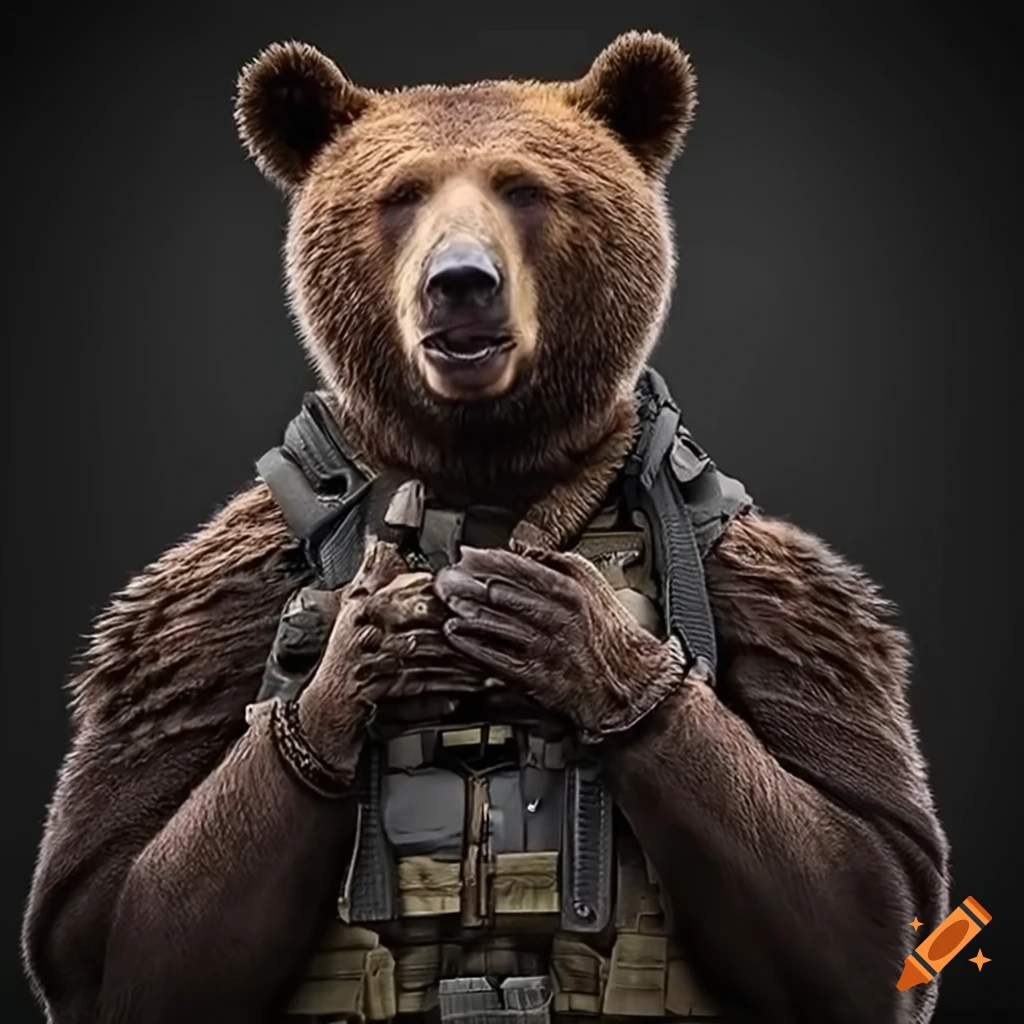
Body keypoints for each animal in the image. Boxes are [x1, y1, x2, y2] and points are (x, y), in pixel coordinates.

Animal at [22, 32, 948, 1024]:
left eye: (525, 188)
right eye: (401, 195)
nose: (460, 283)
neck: (485, 470)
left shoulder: (767, 585)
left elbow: (869, 888)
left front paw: (578, 639)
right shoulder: (202, 607)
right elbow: (109, 920)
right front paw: (364, 649)